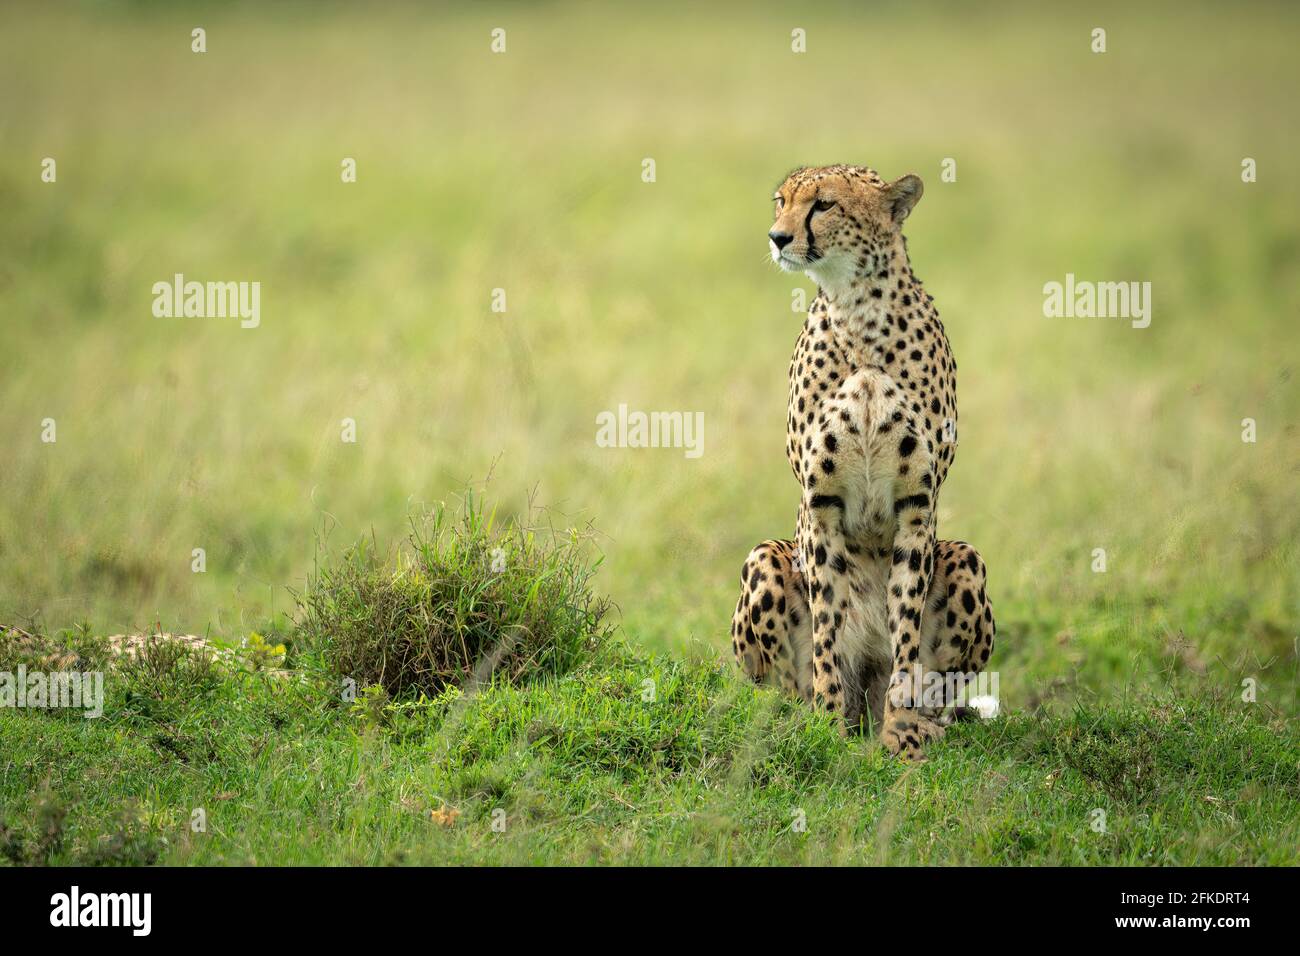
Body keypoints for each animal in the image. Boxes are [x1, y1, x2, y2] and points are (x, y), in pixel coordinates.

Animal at [730, 164, 997, 761]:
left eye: (824, 204)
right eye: (781, 201)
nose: (777, 237)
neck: (858, 308)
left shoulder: (917, 502)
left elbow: (905, 625)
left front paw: (901, 731)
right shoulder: (821, 501)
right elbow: (828, 623)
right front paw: (827, 726)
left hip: (965, 559)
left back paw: (921, 722)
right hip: (765, 561)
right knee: (780, 683)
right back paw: (805, 715)